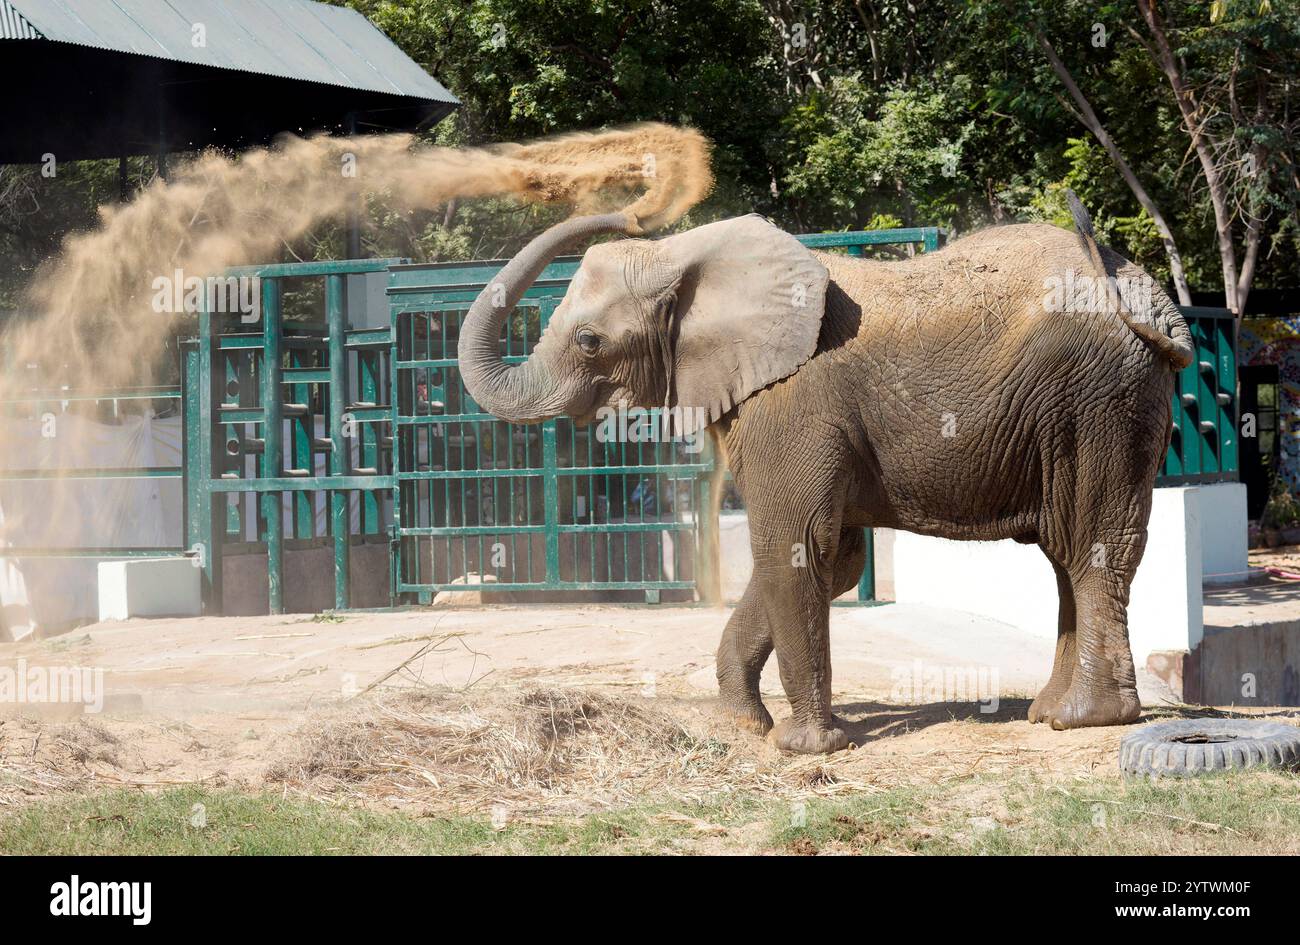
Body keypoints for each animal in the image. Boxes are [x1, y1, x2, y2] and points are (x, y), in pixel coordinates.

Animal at [459, 198, 1193, 753]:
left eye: (588, 341)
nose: (634, 211)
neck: (687, 255)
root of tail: (1154, 303)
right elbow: (831, 559)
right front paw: (745, 724)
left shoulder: (794, 400)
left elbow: (794, 548)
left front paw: (802, 746)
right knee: (1067, 552)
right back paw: (1048, 711)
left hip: (1098, 400)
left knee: (1088, 543)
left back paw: (1083, 719)